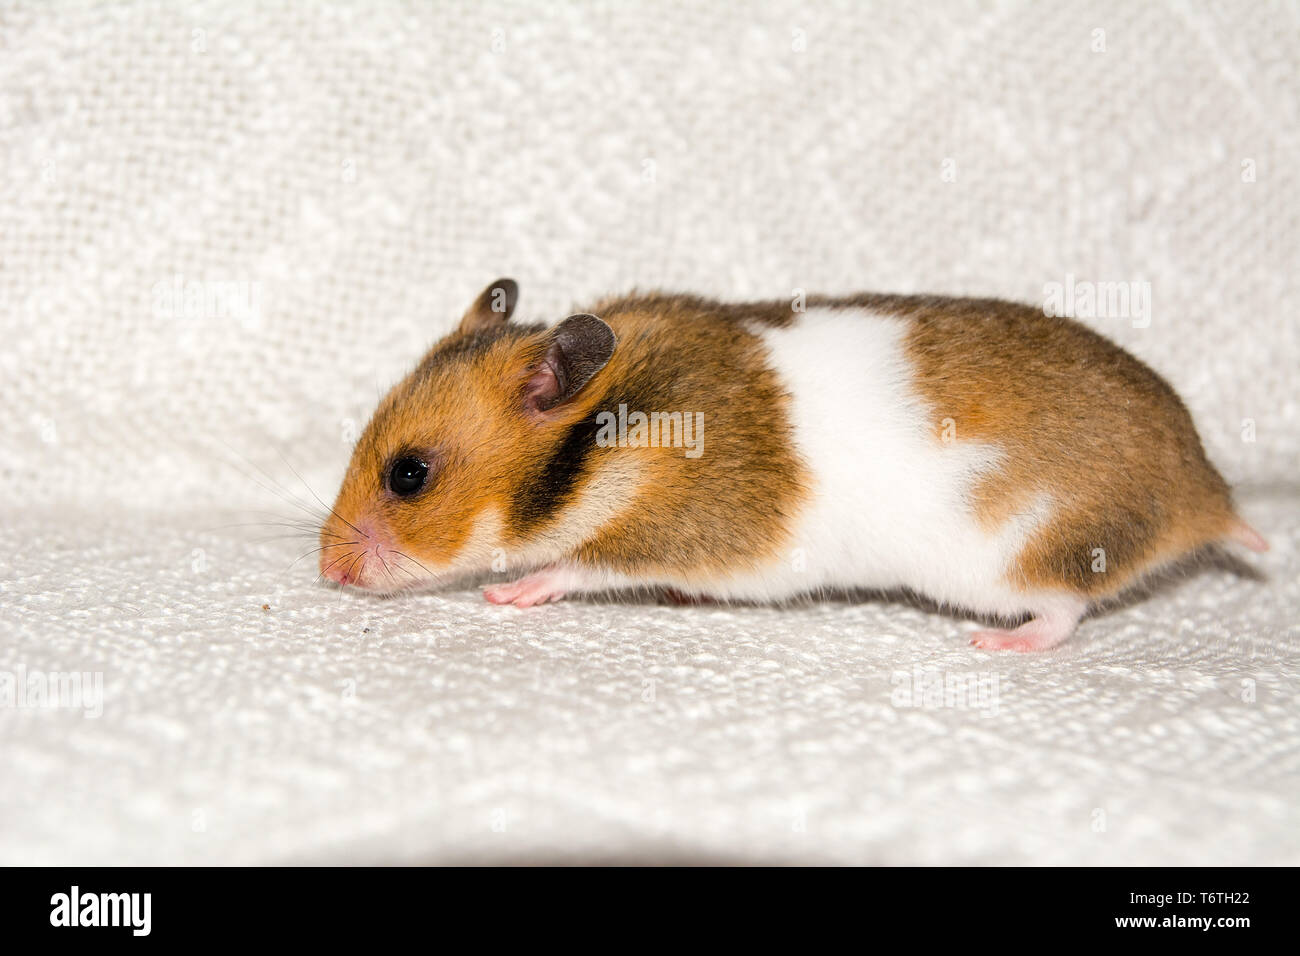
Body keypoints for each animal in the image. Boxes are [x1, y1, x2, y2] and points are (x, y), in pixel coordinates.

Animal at [319, 278, 1267, 651]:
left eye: (409, 474)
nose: (327, 576)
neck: (605, 439)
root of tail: (1206, 493)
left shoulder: (667, 533)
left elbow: (577, 566)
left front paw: (509, 592)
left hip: (1020, 559)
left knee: (1065, 610)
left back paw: (999, 644)